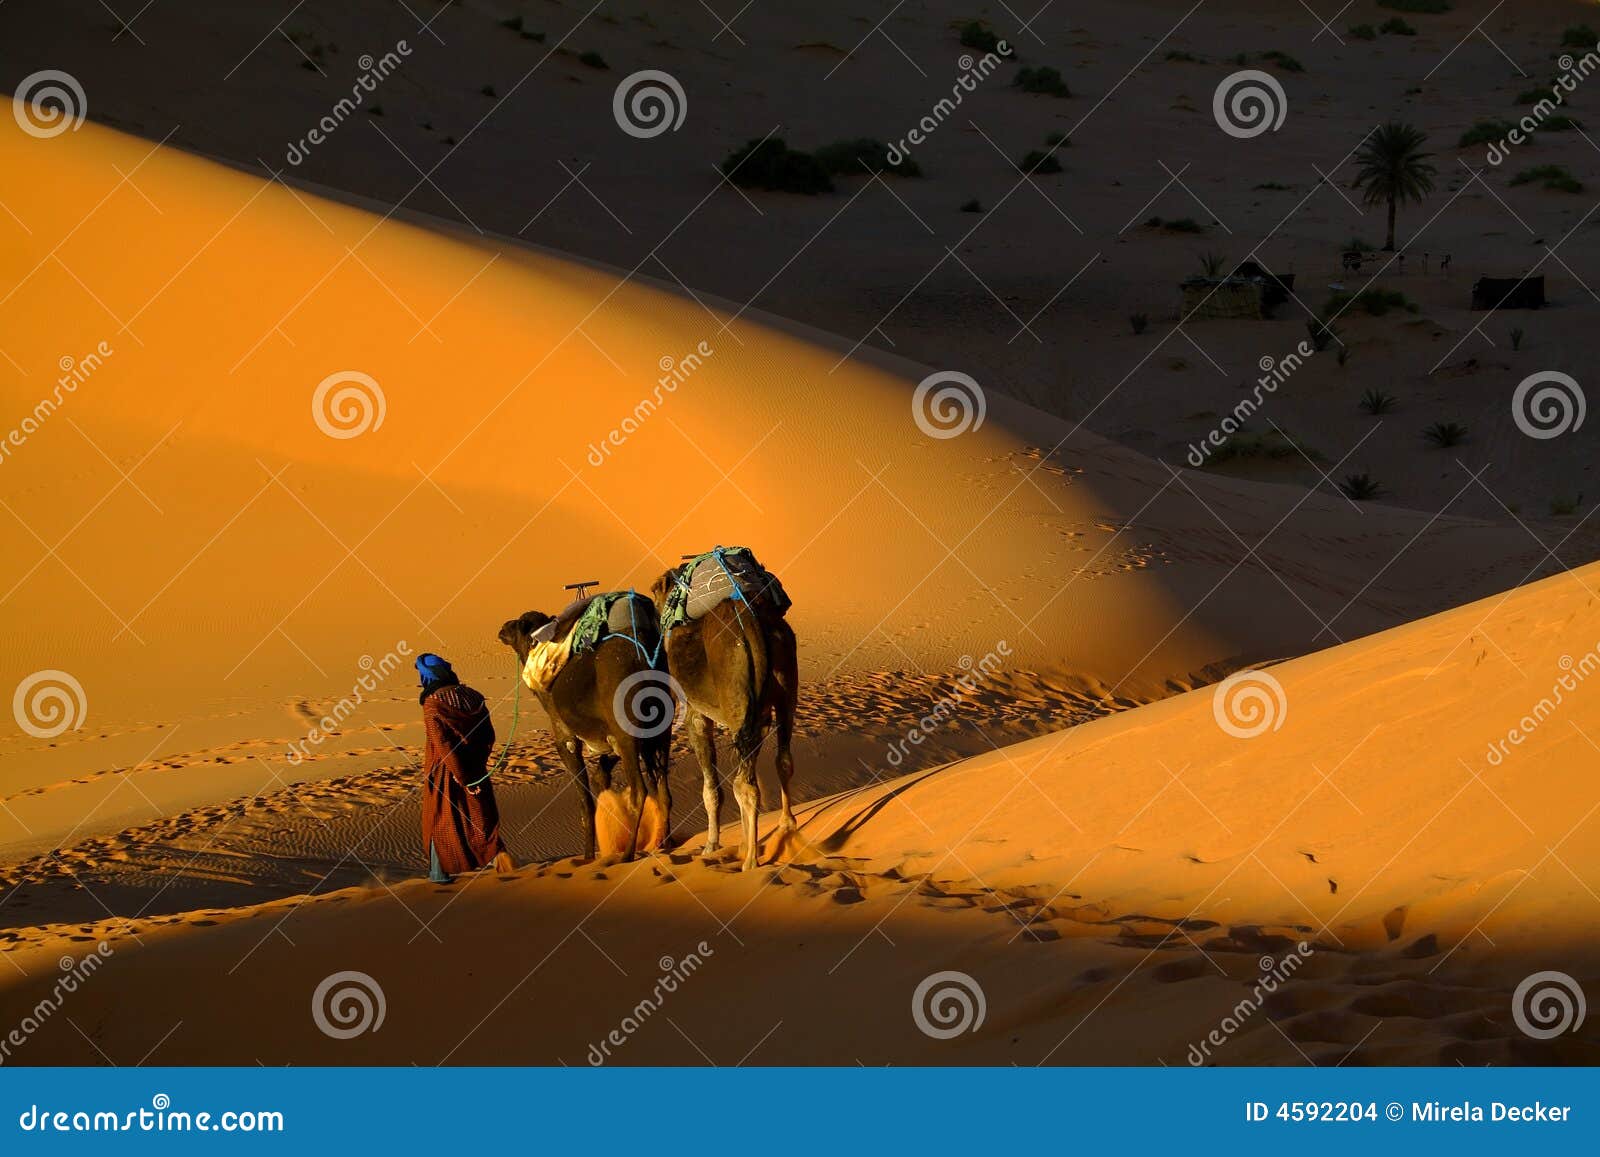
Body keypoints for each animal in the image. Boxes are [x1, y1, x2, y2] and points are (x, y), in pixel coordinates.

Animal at [497, 593, 673, 860]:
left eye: (517, 624)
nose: (502, 628)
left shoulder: (566, 738)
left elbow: (585, 804)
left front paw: (588, 856)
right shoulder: (612, 741)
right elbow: (602, 777)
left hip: (628, 732)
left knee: (639, 791)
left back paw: (627, 855)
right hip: (662, 729)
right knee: (663, 790)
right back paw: (664, 843)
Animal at [649, 556, 798, 871]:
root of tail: (750, 621)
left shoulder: (696, 715)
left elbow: (711, 789)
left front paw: (711, 846)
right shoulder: (757, 714)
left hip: (737, 699)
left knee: (744, 785)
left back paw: (750, 861)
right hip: (783, 690)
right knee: (783, 760)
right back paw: (786, 825)